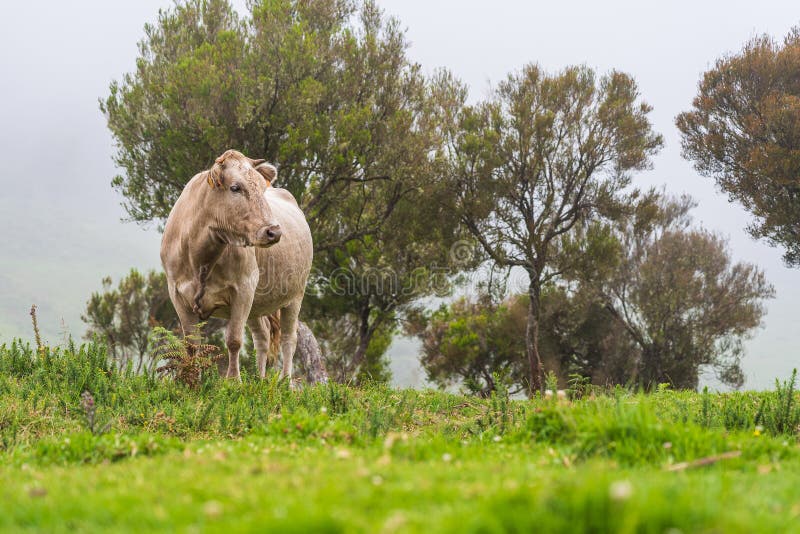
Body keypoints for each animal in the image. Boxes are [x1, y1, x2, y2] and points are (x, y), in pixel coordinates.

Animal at [160, 149, 313, 381]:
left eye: (261, 187)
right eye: (235, 187)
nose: (274, 231)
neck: (200, 259)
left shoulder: (243, 288)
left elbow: (234, 340)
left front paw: (233, 380)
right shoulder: (177, 293)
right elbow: (192, 345)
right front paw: (192, 380)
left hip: (295, 295)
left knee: (289, 338)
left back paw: (285, 381)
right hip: (257, 304)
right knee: (263, 336)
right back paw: (260, 379)